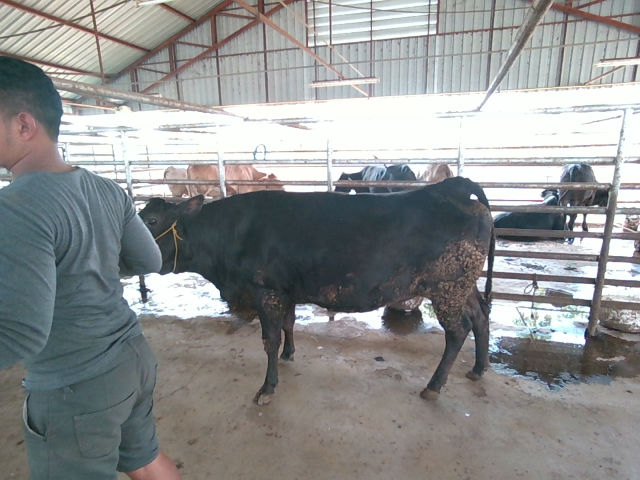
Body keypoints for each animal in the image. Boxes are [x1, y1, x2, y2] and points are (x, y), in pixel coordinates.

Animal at [139, 176, 495, 406]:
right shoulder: (284, 291)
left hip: (447, 287)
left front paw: (267, 387)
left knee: (458, 331)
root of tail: (452, 186)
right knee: (480, 316)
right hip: (462, 286)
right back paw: (478, 369)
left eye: (153, 219)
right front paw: (289, 354)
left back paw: (434, 386)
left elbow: (269, 340)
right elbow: (288, 324)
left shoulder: (265, 291)